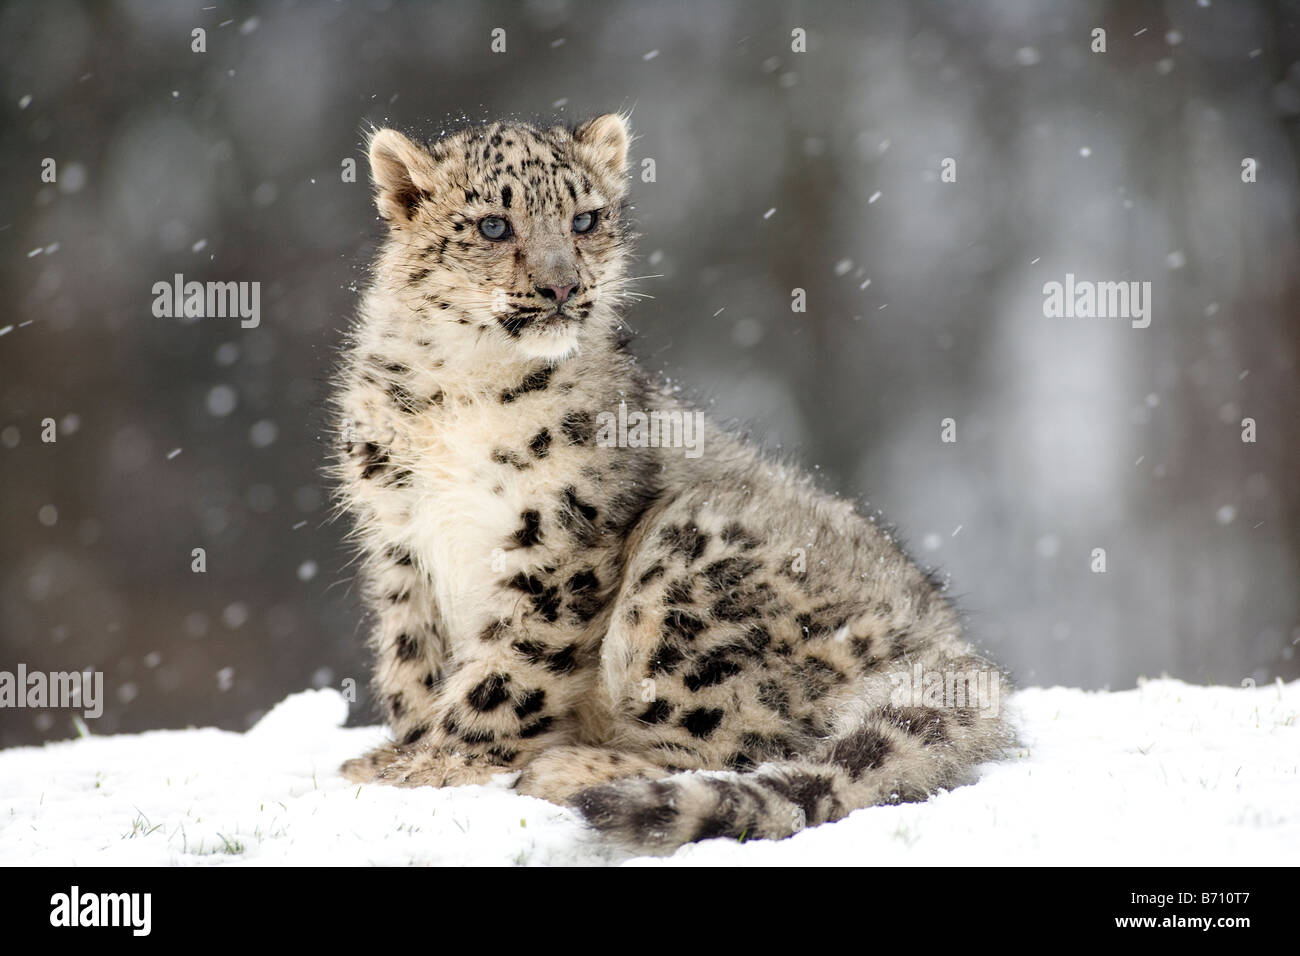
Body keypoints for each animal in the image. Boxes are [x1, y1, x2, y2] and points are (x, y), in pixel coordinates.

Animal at [331, 112, 1013, 852]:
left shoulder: (562, 540)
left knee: (736, 748)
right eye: (492, 225)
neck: (464, 385)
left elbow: (511, 668)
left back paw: (569, 770)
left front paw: (438, 763)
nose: (562, 286)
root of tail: (950, 645)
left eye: (585, 218)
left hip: (688, 582)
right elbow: (411, 661)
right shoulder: (398, 543)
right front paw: (397, 753)